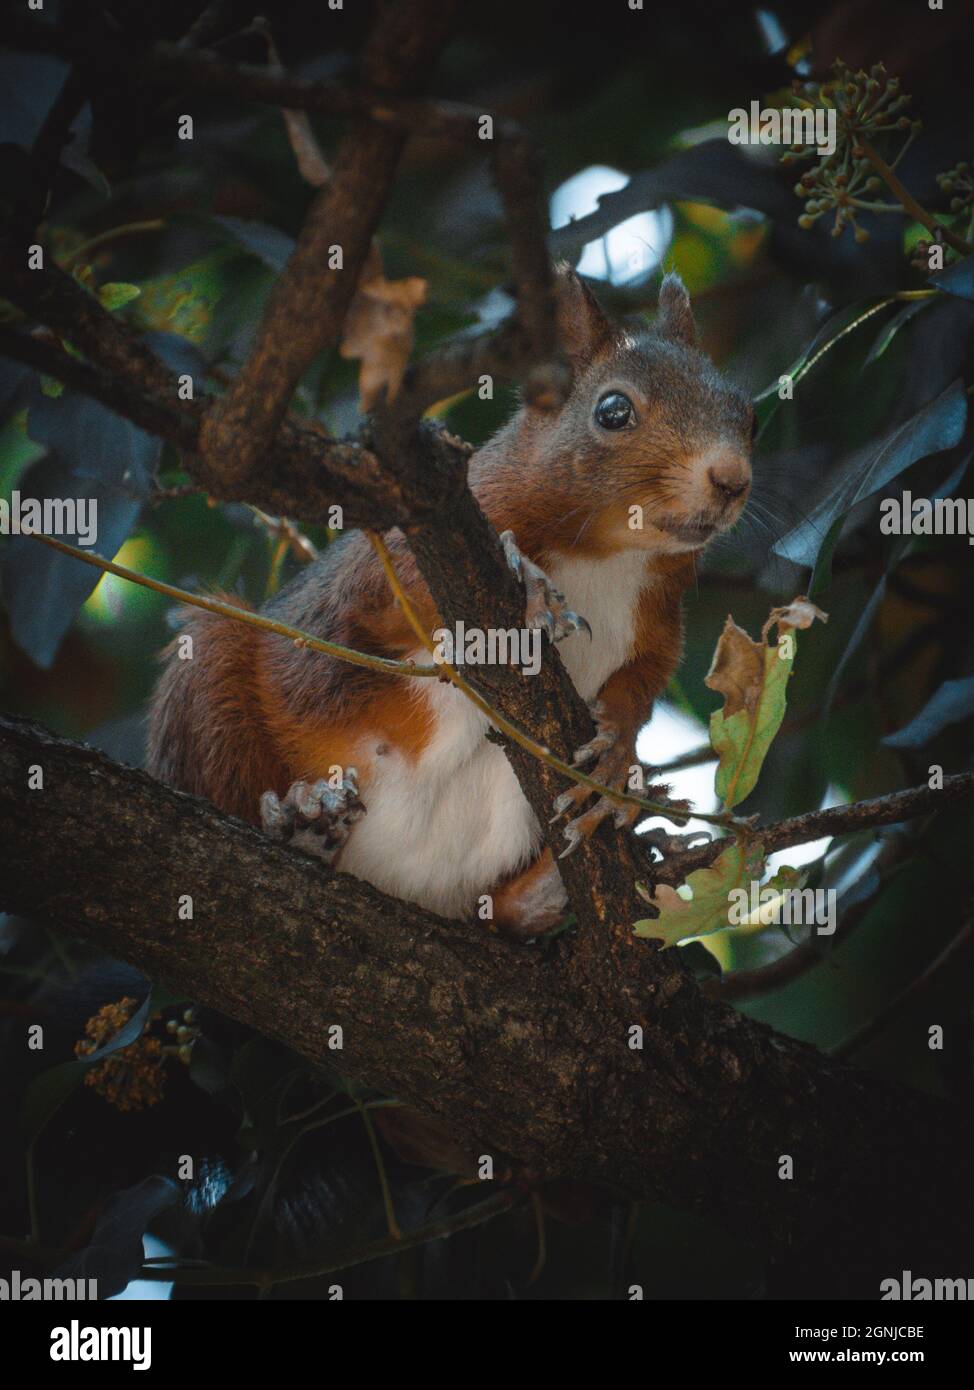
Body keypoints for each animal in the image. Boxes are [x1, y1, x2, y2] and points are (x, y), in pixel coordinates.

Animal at [147, 267, 754, 938]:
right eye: (614, 411)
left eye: (747, 413)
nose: (732, 478)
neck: (608, 557)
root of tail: (408, 886)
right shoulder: (410, 535)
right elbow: (390, 597)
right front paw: (527, 577)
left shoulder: (657, 623)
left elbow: (641, 683)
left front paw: (617, 755)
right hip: (209, 684)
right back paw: (301, 823)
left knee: (505, 914)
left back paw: (555, 883)